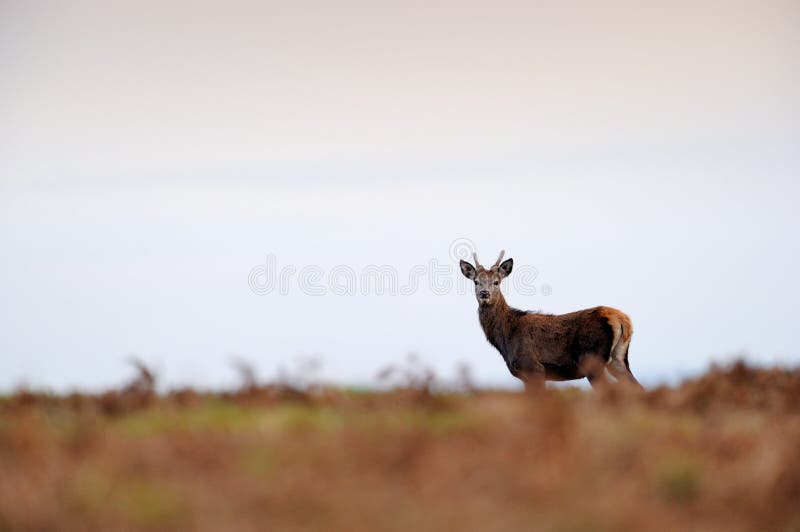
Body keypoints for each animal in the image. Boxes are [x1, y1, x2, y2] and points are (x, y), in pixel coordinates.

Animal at [459, 249, 642, 391]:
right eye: (476, 282)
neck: (506, 337)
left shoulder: (534, 368)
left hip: (593, 359)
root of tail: (622, 319)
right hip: (618, 359)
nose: (484, 294)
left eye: (496, 282)